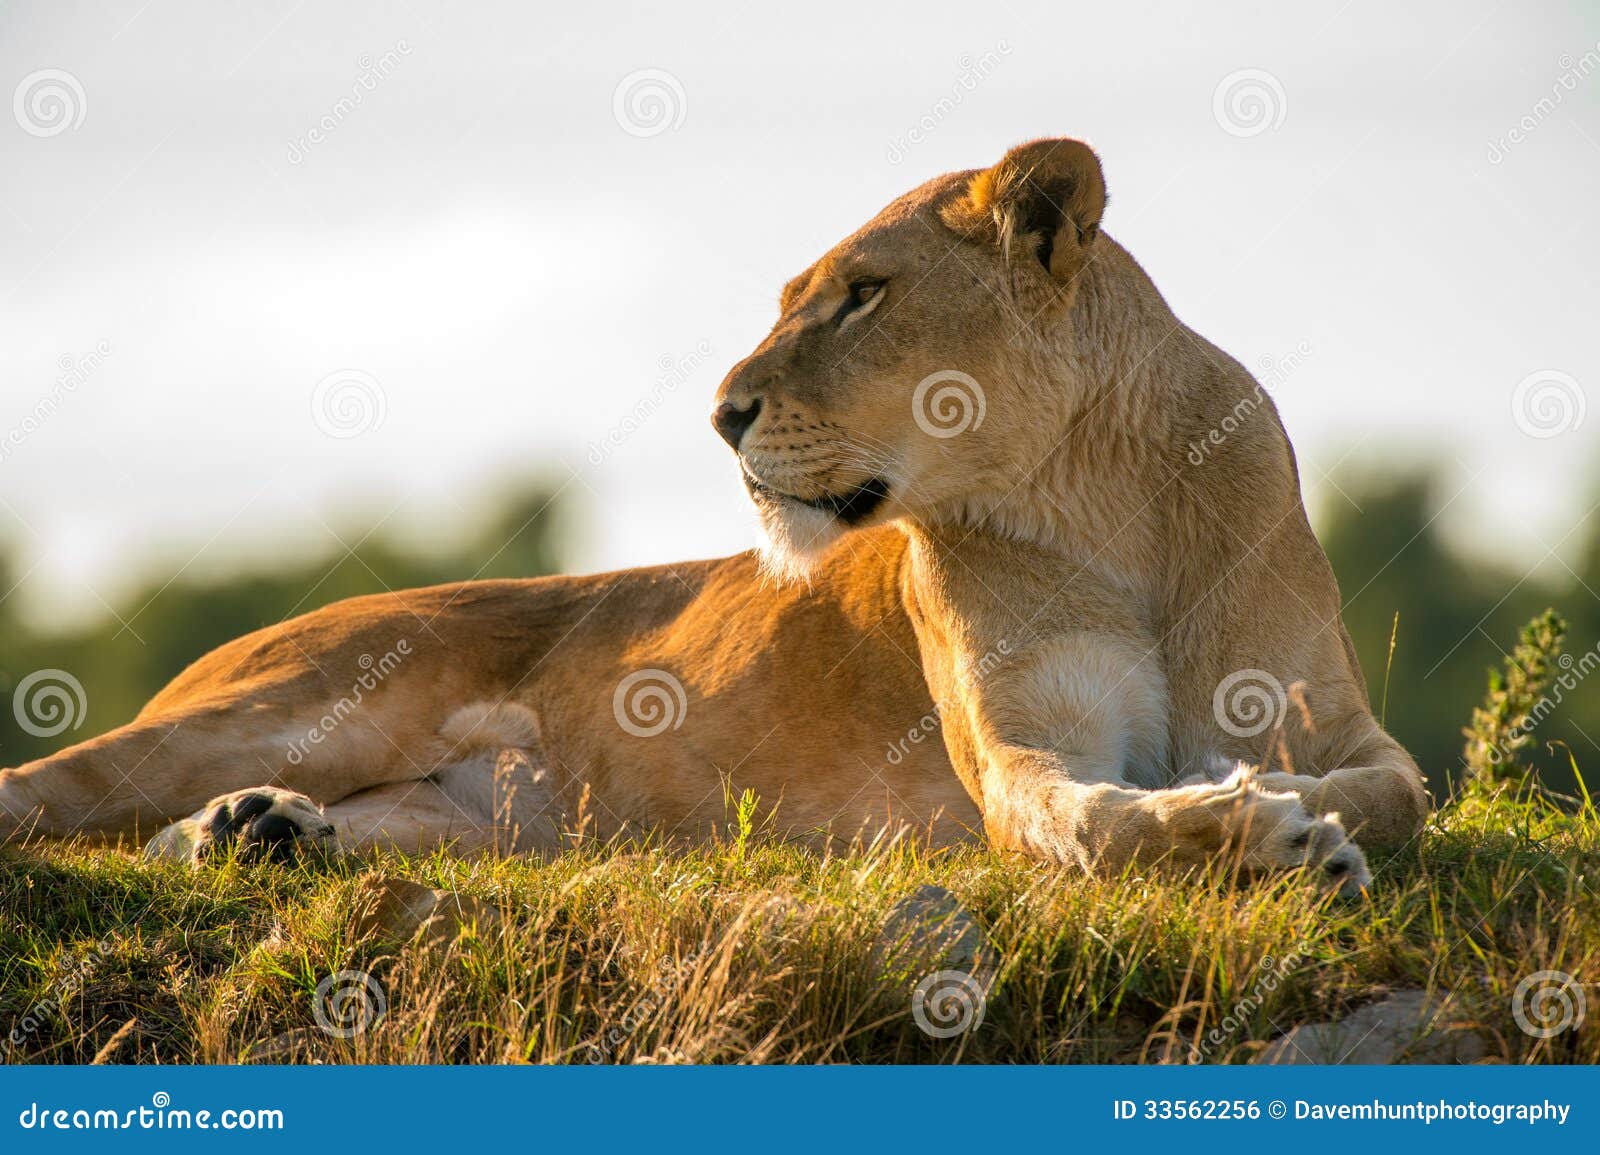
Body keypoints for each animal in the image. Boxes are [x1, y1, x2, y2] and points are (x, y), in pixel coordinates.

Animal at [0, 138, 1427, 894]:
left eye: (862, 293)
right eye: (796, 295)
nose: (722, 413)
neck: (1101, 501)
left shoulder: (1333, 715)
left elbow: (1396, 791)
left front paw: (1291, 803)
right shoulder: (1016, 748)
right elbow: (1089, 819)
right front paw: (1258, 828)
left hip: (460, 822)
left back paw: (257, 833)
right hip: (283, 705)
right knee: (43, 793)